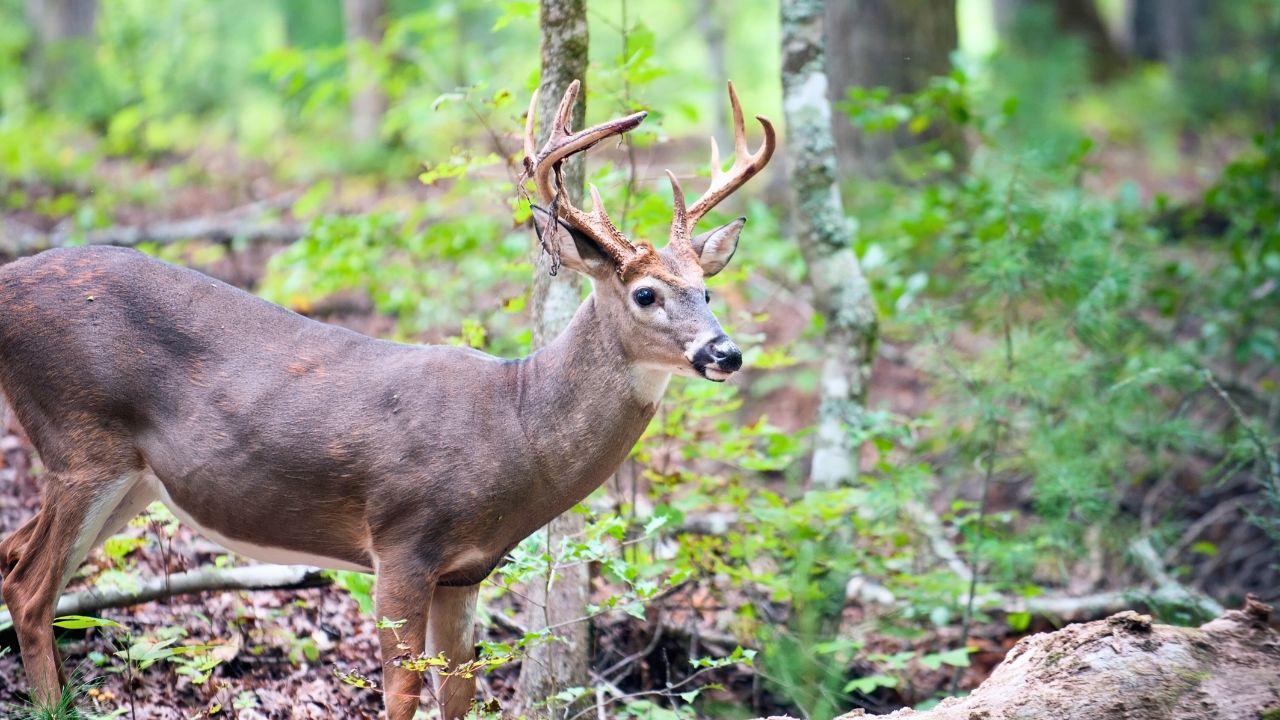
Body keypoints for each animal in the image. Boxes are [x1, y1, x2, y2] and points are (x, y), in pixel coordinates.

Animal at [0, 79, 774, 720]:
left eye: (707, 291)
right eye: (645, 294)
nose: (725, 352)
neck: (514, 426)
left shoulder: (466, 570)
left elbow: (459, 688)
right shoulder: (402, 536)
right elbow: (402, 688)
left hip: (130, 477)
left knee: (15, 558)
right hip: (80, 437)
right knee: (32, 589)